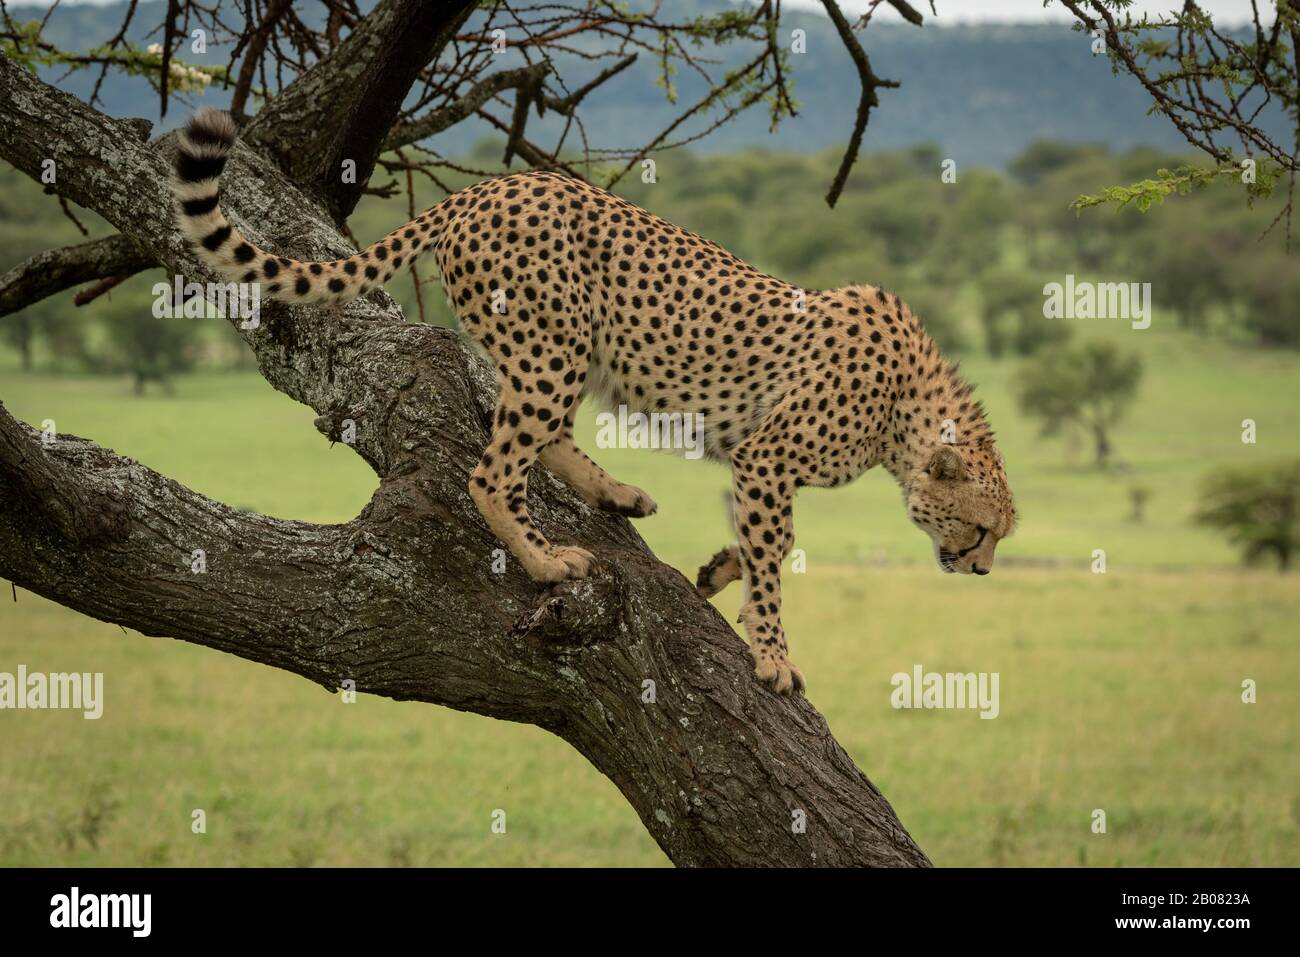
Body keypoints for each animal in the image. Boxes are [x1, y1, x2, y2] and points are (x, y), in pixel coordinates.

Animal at [172, 109, 1017, 695]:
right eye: (980, 529)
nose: (980, 571)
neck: (905, 413)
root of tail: (493, 184)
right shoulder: (768, 457)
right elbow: (776, 551)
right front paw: (773, 652)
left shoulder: (760, 466)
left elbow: (758, 543)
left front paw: (721, 571)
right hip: (554, 341)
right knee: (494, 467)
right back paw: (545, 559)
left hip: (561, 347)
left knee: (539, 433)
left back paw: (614, 491)